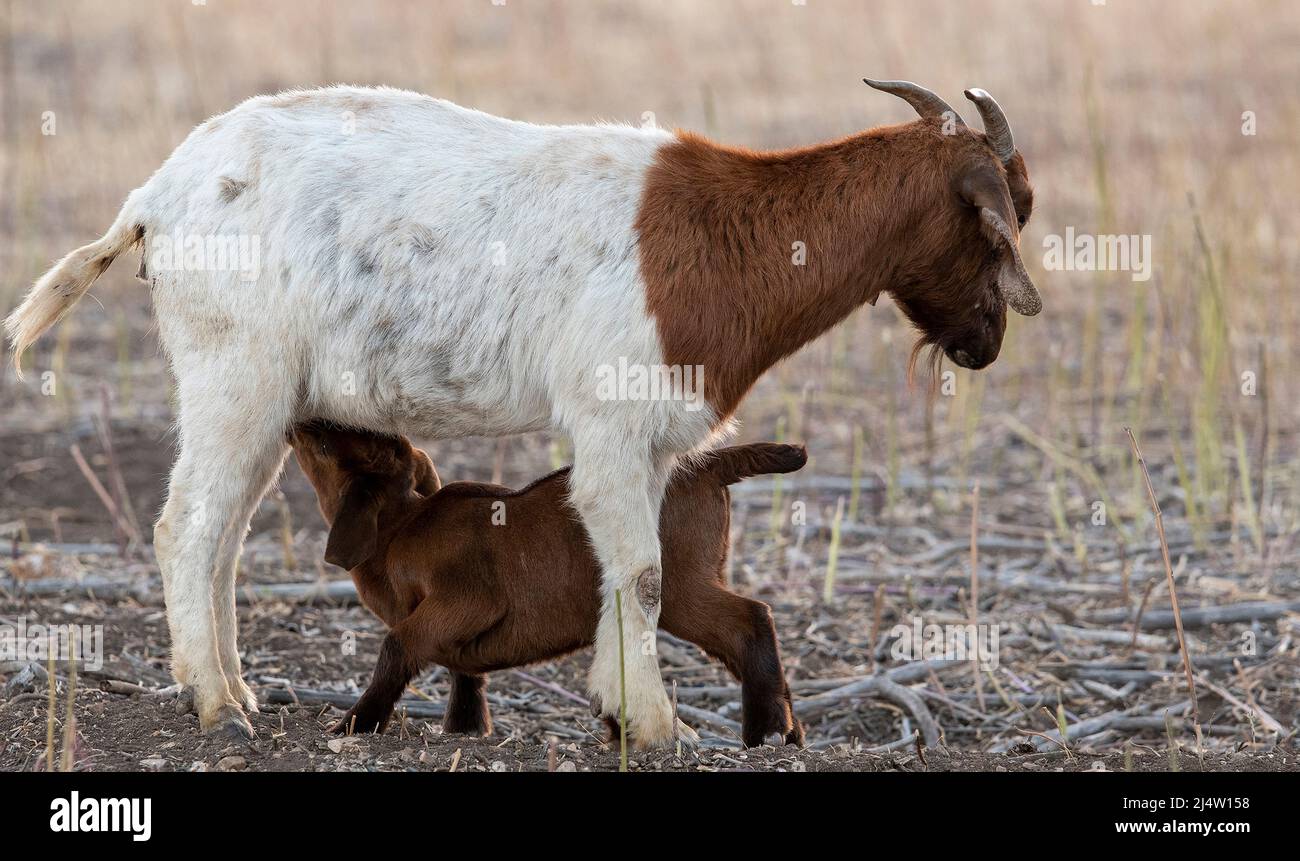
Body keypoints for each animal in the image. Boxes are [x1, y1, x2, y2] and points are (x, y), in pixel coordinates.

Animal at [287, 422, 808, 748]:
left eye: (326, 448)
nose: (301, 423)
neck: (401, 527)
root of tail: (712, 463)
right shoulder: (456, 633)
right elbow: (463, 670)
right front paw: (465, 730)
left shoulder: (467, 598)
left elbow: (398, 645)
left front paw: (354, 724)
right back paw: (787, 733)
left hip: (679, 586)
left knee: (751, 619)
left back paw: (767, 732)